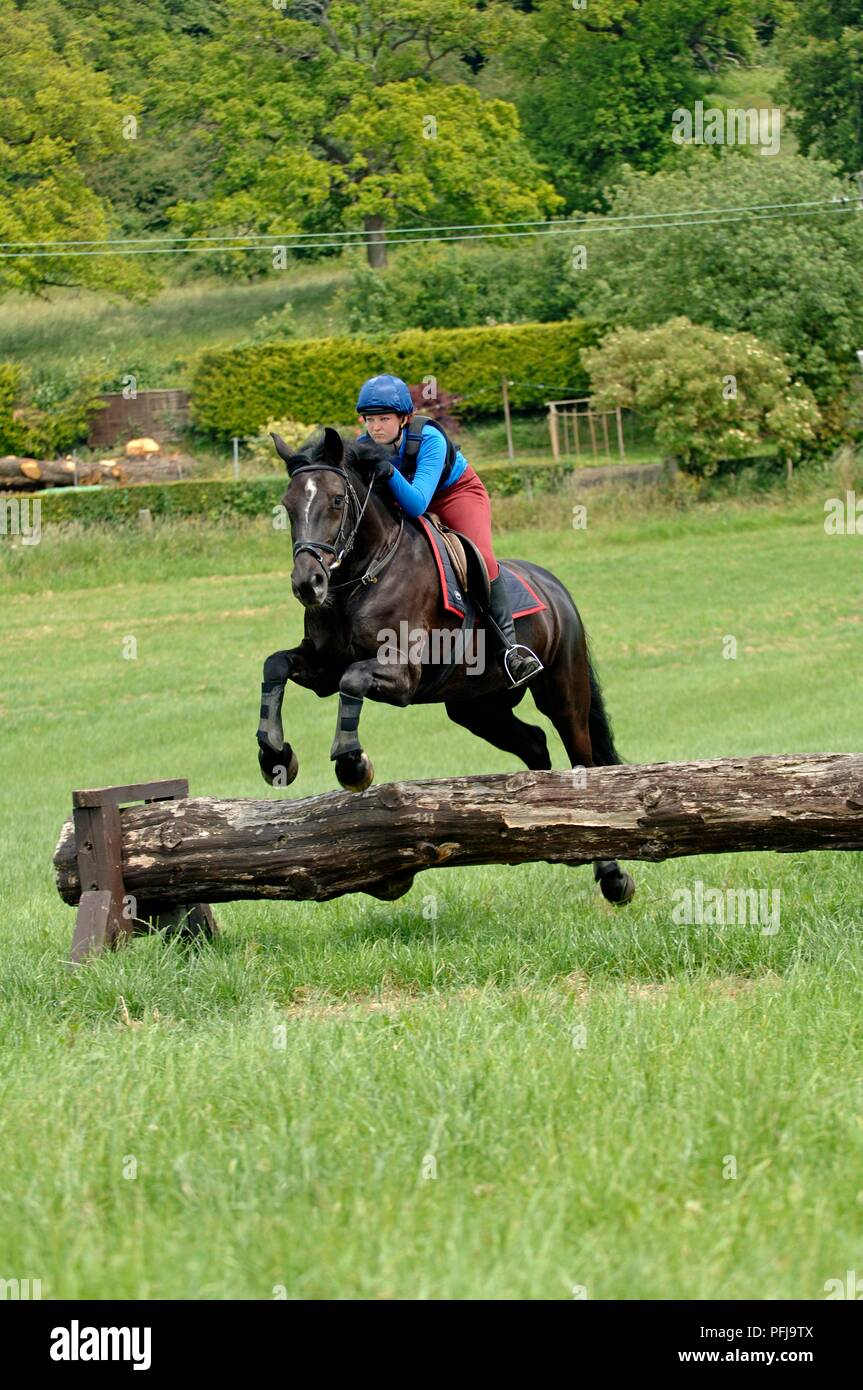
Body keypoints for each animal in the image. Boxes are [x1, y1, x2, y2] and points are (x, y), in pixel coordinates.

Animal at [256, 426, 635, 906]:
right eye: (288, 505)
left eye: (337, 500)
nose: (308, 584)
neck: (364, 575)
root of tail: (554, 587)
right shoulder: (320, 665)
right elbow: (276, 665)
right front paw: (275, 756)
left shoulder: (402, 674)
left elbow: (353, 679)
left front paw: (353, 765)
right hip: (477, 708)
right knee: (533, 743)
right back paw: (548, 828)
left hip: (562, 693)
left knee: (581, 760)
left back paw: (611, 875)